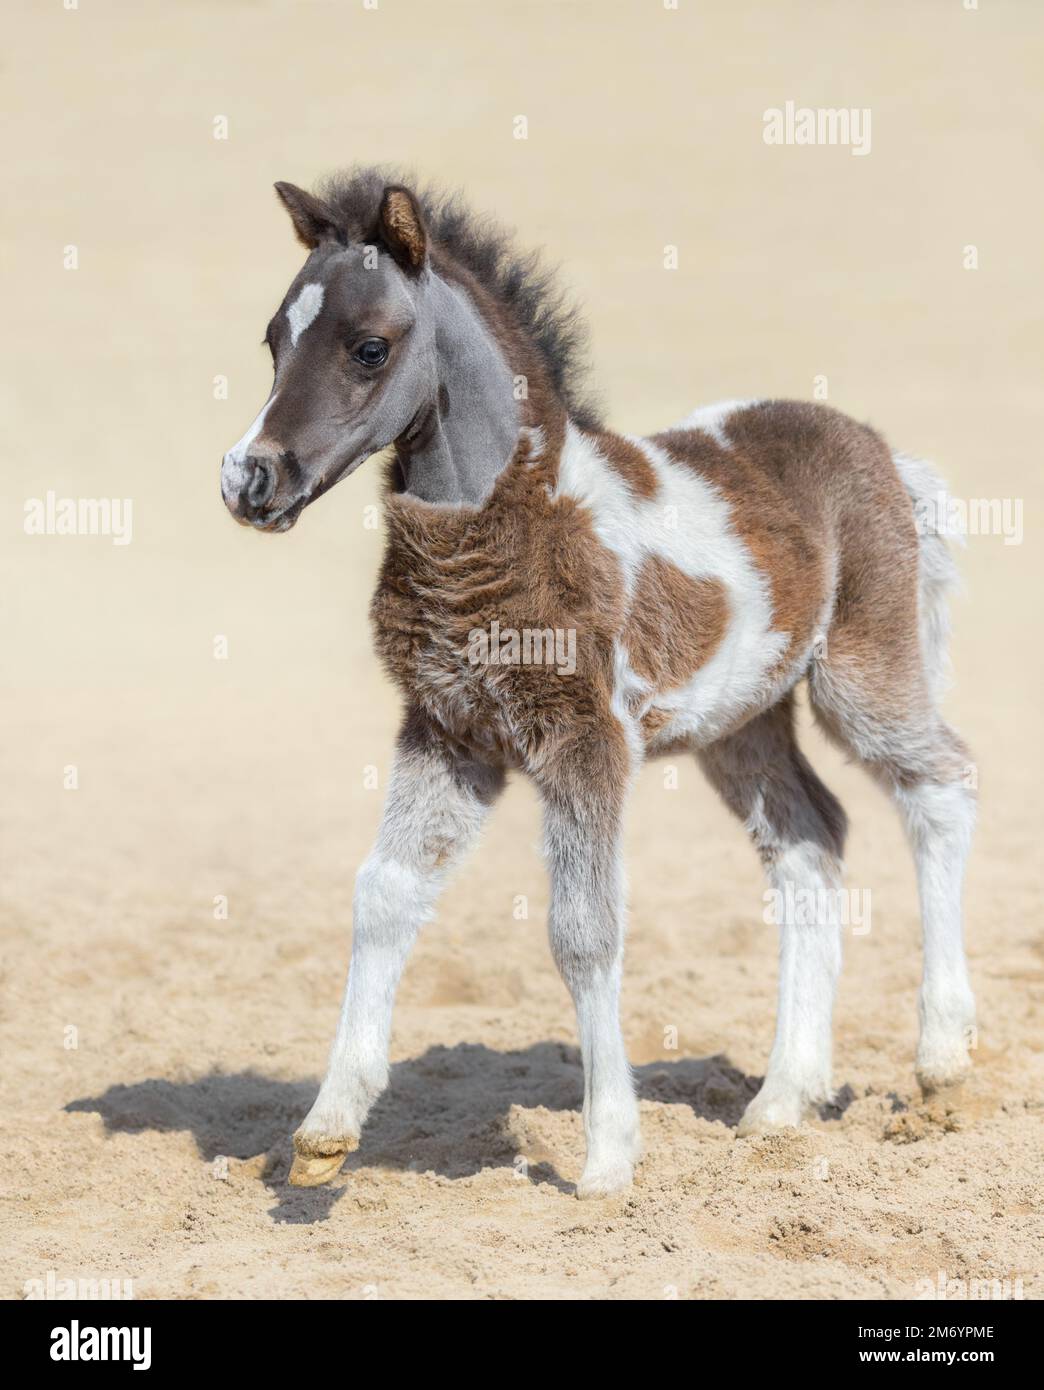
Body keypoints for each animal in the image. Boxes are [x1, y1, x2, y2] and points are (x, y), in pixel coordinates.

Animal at [220, 168, 976, 1197]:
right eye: (272, 339)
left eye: (370, 347)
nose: (248, 481)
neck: (521, 517)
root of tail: (886, 454)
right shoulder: (448, 731)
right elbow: (383, 892)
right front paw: (326, 1130)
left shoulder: (587, 738)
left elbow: (583, 929)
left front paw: (609, 1153)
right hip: (740, 722)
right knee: (808, 844)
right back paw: (782, 1102)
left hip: (863, 674)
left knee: (939, 786)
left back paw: (941, 1067)